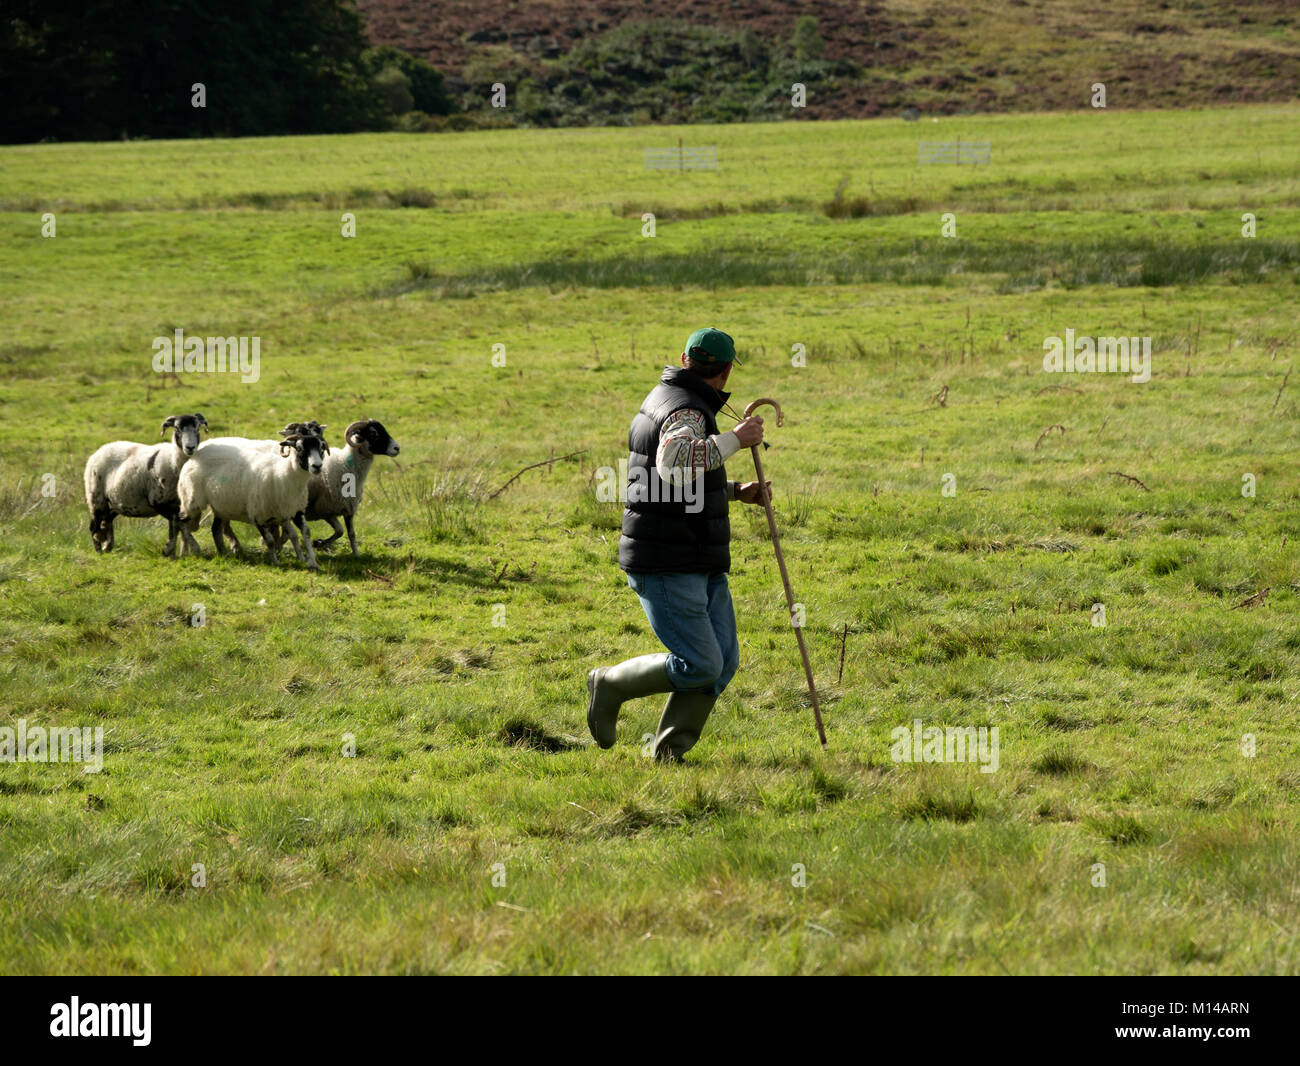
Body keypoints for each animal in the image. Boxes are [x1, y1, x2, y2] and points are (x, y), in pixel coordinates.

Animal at [83, 413, 209, 556]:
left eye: (197, 427)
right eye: (177, 429)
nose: (190, 448)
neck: (172, 461)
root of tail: (100, 450)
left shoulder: (178, 505)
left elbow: (177, 526)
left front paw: (176, 552)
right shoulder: (157, 502)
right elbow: (177, 522)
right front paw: (176, 549)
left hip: (115, 503)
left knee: (107, 520)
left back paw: (108, 546)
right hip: (96, 497)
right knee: (94, 526)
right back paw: (99, 551)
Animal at [177, 429, 327, 569]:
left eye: (321, 449)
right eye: (300, 448)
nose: (317, 466)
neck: (283, 474)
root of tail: (199, 450)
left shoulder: (294, 511)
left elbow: (304, 533)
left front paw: (310, 561)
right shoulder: (258, 515)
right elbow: (271, 541)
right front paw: (275, 562)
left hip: (221, 506)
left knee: (216, 529)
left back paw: (223, 553)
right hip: (192, 501)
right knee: (182, 523)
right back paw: (190, 550)